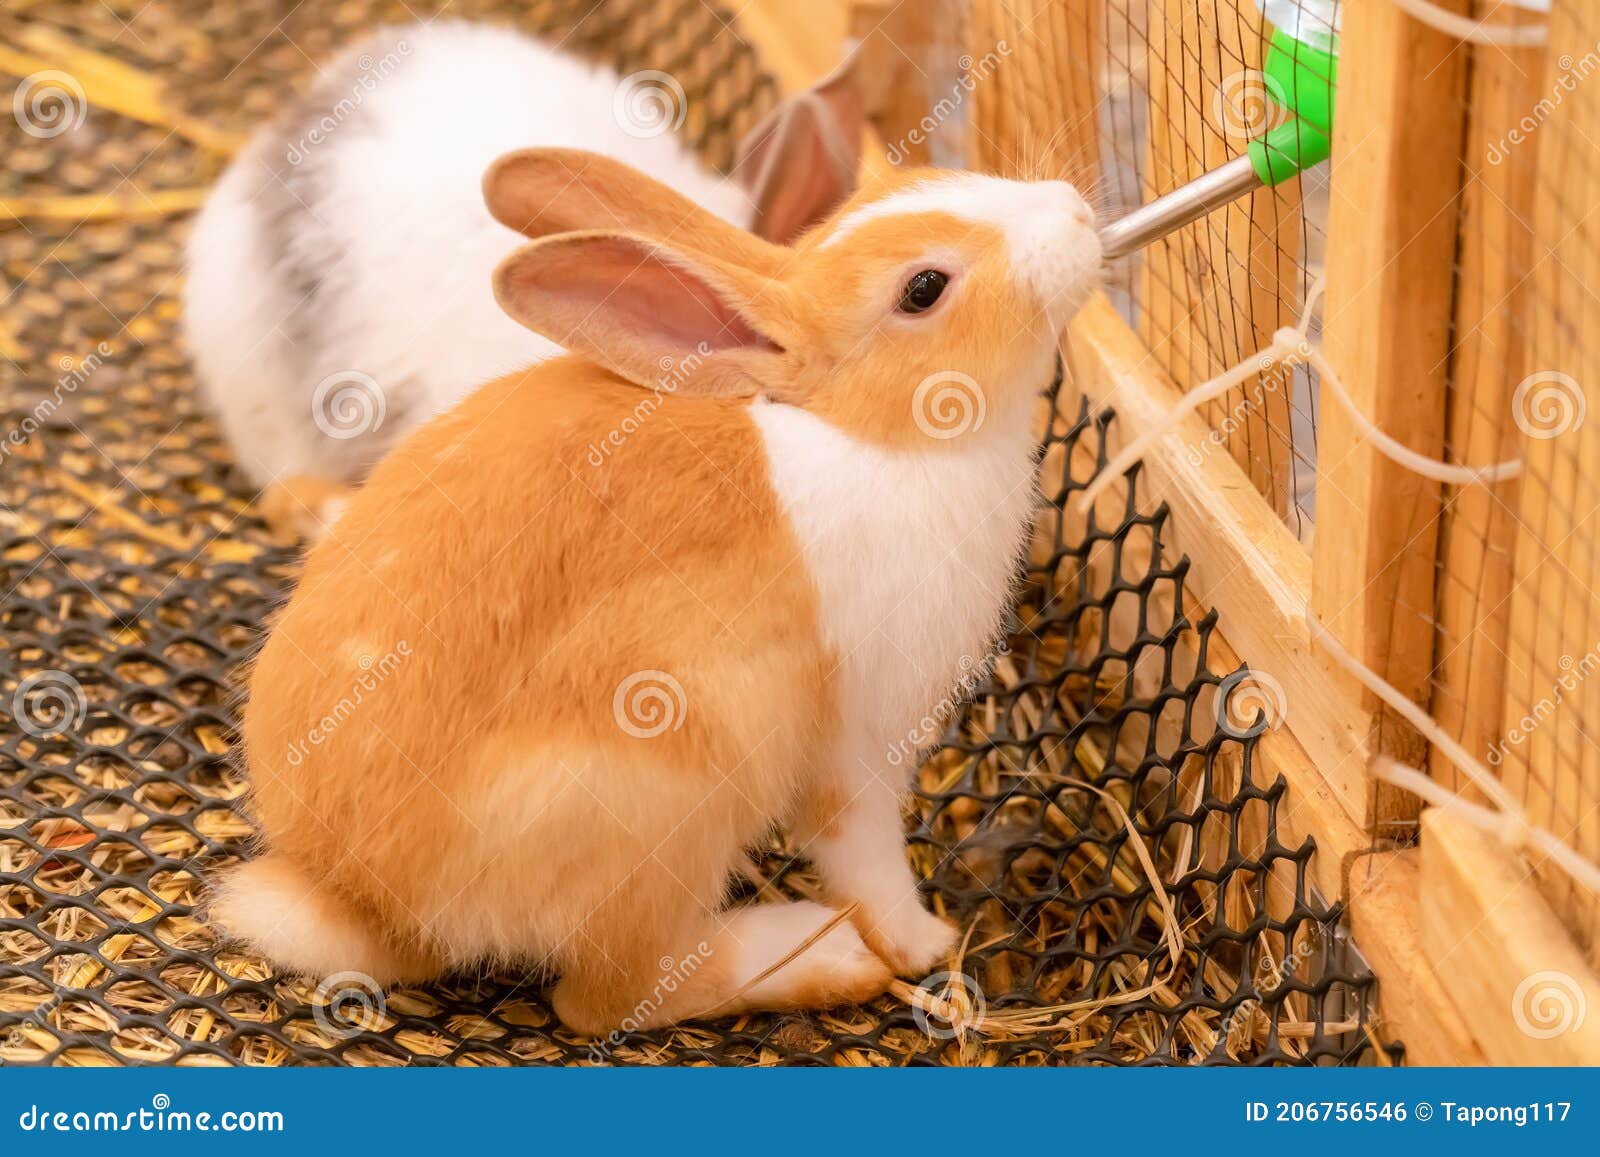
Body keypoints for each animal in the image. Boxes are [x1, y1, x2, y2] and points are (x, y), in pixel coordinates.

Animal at [210, 147, 1101, 1035]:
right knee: (606, 995)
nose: (1077, 213)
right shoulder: (859, 739)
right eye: (923, 288)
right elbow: (866, 855)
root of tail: (354, 898)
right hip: (664, 773)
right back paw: (819, 956)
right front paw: (922, 941)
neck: (868, 431)